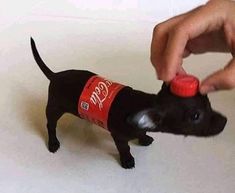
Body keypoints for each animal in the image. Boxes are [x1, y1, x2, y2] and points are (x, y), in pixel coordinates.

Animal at [31, 37, 228, 169]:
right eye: (195, 116)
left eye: (208, 102)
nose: (225, 121)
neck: (148, 103)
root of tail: (55, 75)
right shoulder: (118, 136)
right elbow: (124, 148)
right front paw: (127, 160)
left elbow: (142, 133)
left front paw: (144, 138)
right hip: (54, 108)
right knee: (50, 125)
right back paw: (53, 142)